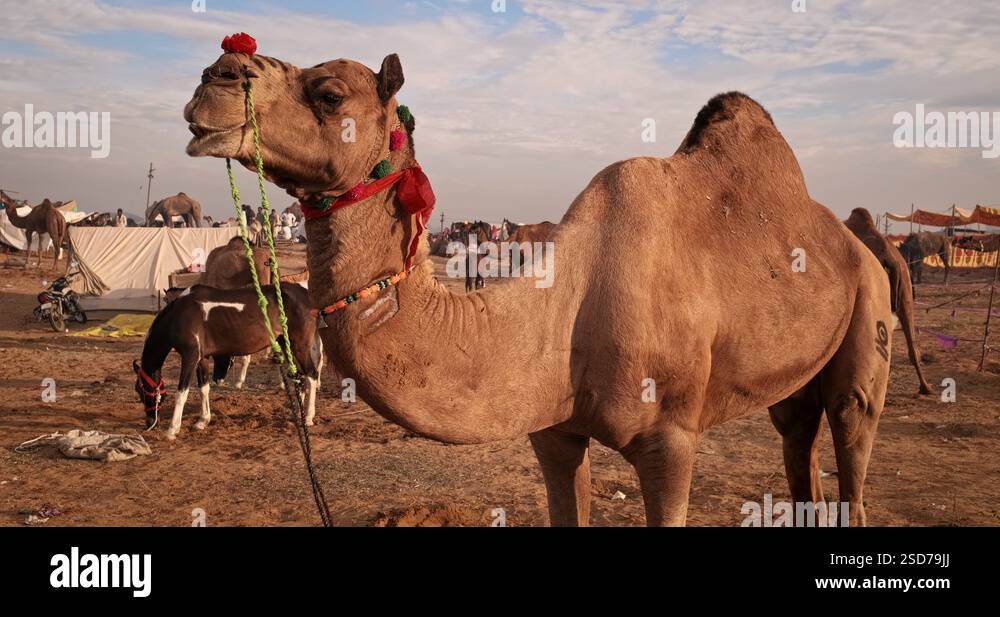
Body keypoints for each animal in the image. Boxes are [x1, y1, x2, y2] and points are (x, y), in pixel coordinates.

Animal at [185, 47, 892, 527]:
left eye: (329, 93)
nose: (213, 75)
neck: (561, 310)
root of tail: (857, 244)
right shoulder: (551, 429)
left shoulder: (671, 439)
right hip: (794, 373)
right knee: (797, 437)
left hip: (871, 306)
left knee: (853, 435)